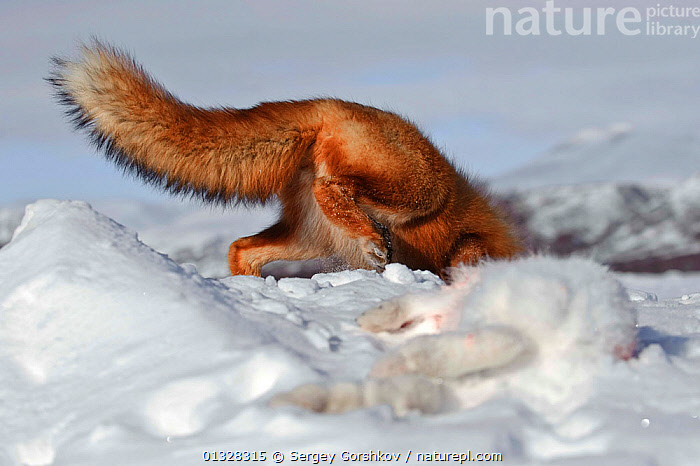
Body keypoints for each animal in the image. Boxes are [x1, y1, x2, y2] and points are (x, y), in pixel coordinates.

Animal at [49, 42, 521, 279]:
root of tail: (330, 104)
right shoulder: (471, 247)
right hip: (421, 192)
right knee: (332, 189)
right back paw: (372, 242)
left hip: (310, 237)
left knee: (241, 248)